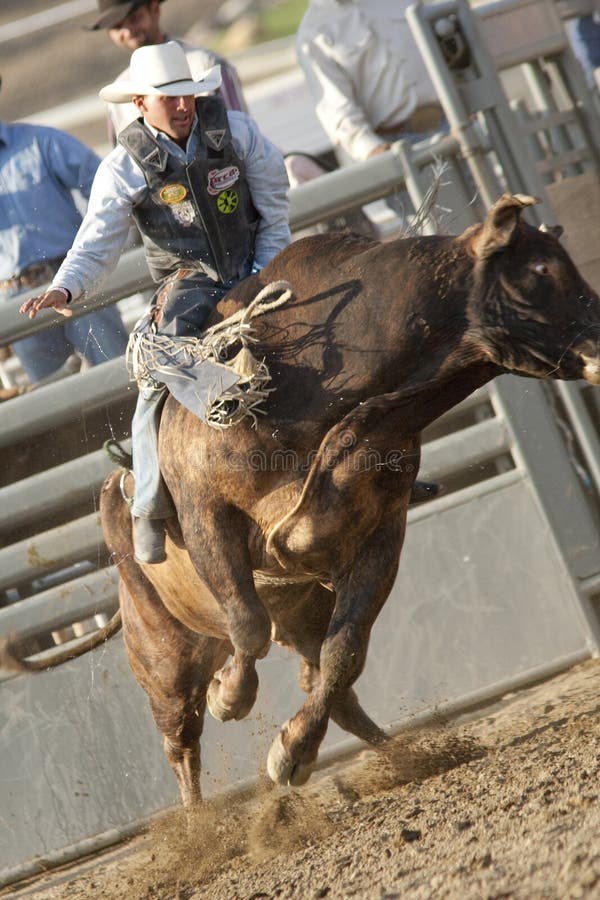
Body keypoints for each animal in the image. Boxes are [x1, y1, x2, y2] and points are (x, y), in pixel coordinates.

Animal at [4, 194, 600, 807]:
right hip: (164, 656)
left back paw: (394, 757)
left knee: (330, 686)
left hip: (300, 614)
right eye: (542, 269)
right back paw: (200, 822)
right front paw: (230, 696)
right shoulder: (204, 511)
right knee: (180, 740)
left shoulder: (381, 539)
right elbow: (247, 624)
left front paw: (291, 753)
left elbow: (346, 653)